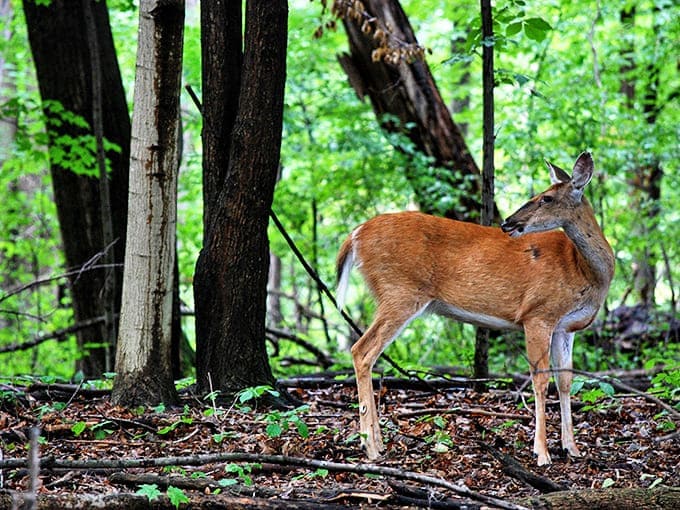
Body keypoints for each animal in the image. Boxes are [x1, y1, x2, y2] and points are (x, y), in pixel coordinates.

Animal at [335, 152, 615, 466]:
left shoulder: (566, 326)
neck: (586, 271)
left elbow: (565, 380)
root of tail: (355, 235)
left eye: (546, 198)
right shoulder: (537, 313)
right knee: (362, 351)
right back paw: (370, 447)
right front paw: (541, 453)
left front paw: (572, 448)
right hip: (400, 292)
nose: (508, 222)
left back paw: (377, 443)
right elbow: (540, 381)